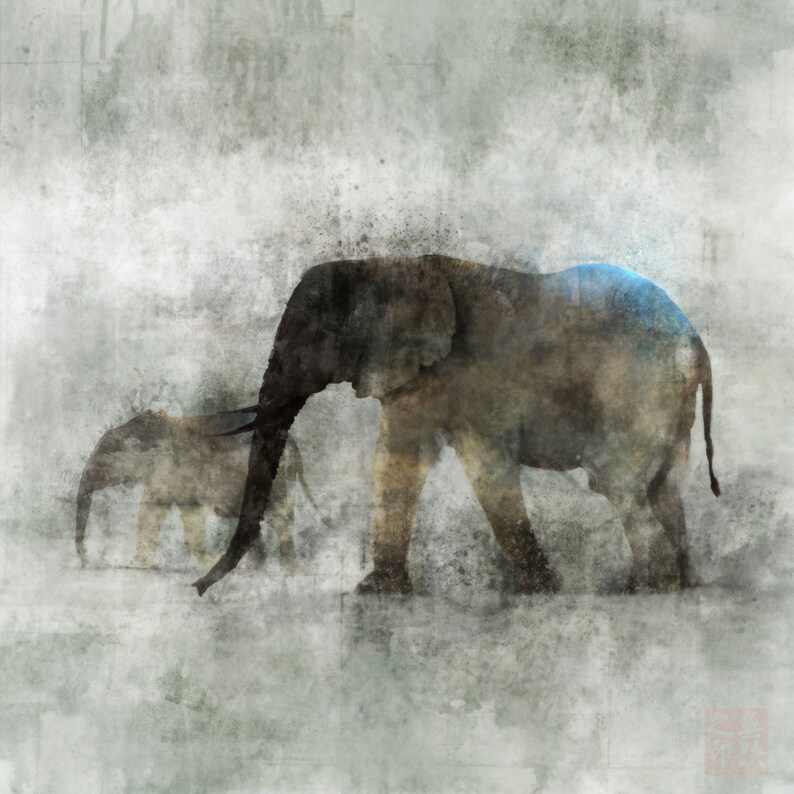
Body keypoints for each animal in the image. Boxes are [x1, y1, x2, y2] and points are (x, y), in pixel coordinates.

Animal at [76, 411, 324, 569]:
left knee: (279, 519)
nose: (86, 562)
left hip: (274, 479)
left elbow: (164, 511)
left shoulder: (178, 469)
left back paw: (287, 572)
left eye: (103, 461)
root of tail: (296, 448)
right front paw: (140, 565)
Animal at [192, 254, 720, 597]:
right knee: (664, 489)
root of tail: (696, 340)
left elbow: (482, 466)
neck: (387, 262)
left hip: (636, 386)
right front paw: (377, 592)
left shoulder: (470, 378)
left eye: (312, 337)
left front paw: (543, 590)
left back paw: (646, 591)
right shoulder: (419, 376)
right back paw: (678, 586)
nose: (196, 589)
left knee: (621, 487)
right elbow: (398, 462)